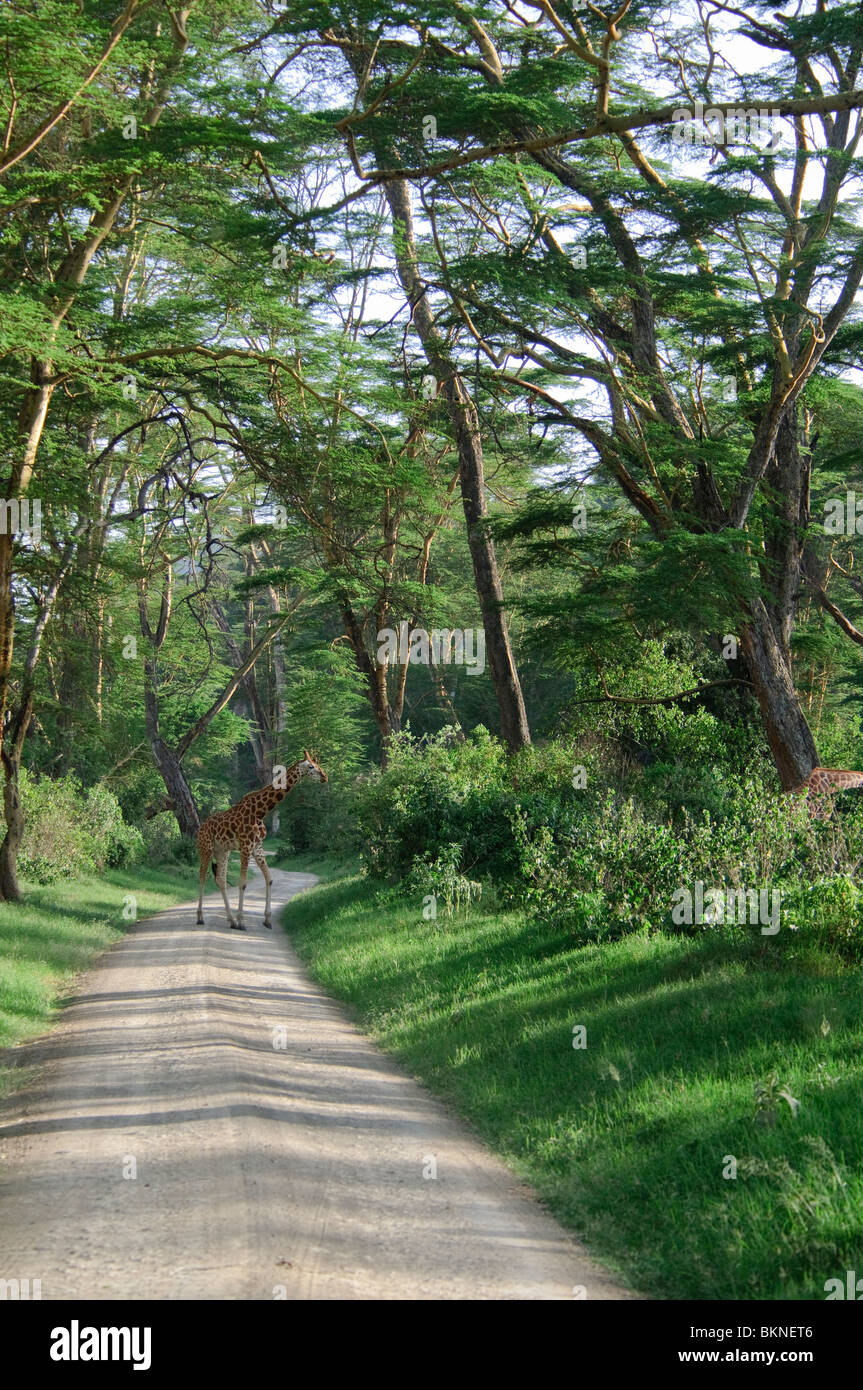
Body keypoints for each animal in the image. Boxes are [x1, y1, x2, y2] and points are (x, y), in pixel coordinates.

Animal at [196, 751, 327, 931]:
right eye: (311, 766)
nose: (324, 777)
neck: (260, 812)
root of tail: (200, 828)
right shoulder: (246, 846)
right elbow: (243, 883)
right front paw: (242, 922)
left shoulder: (257, 847)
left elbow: (269, 878)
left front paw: (267, 920)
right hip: (206, 849)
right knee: (202, 877)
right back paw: (201, 918)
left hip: (223, 851)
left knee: (220, 879)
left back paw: (230, 920)